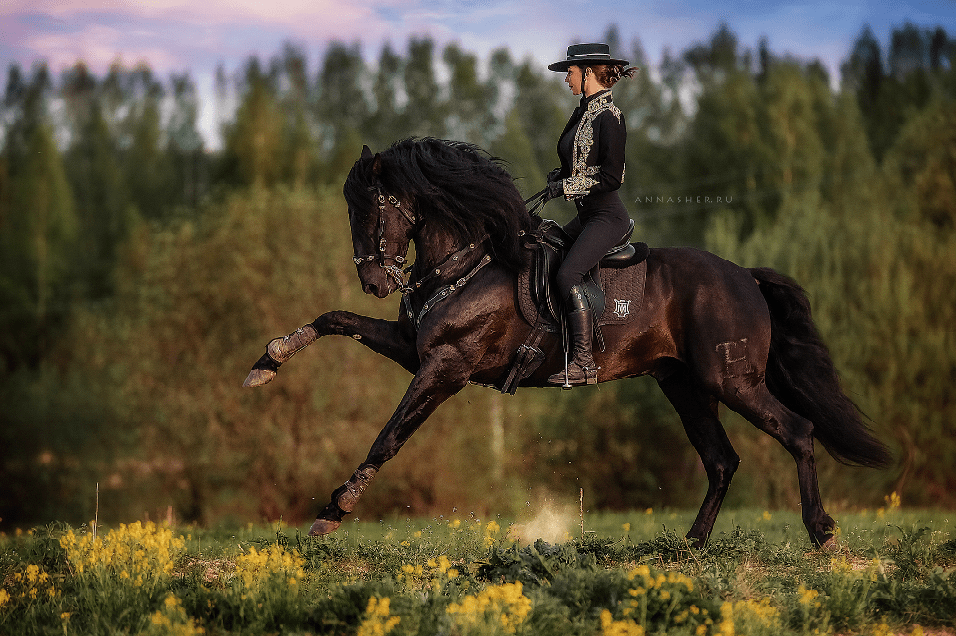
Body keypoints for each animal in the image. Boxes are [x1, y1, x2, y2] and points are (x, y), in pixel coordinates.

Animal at [243, 137, 891, 547]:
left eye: (372, 210)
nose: (376, 283)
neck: (466, 261)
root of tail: (744, 277)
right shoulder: (411, 347)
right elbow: (334, 319)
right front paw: (267, 362)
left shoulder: (445, 366)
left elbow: (390, 435)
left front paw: (334, 511)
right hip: (684, 386)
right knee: (722, 460)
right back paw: (690, 545)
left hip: (731, 381)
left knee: (799, 432)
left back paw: (821, 532)